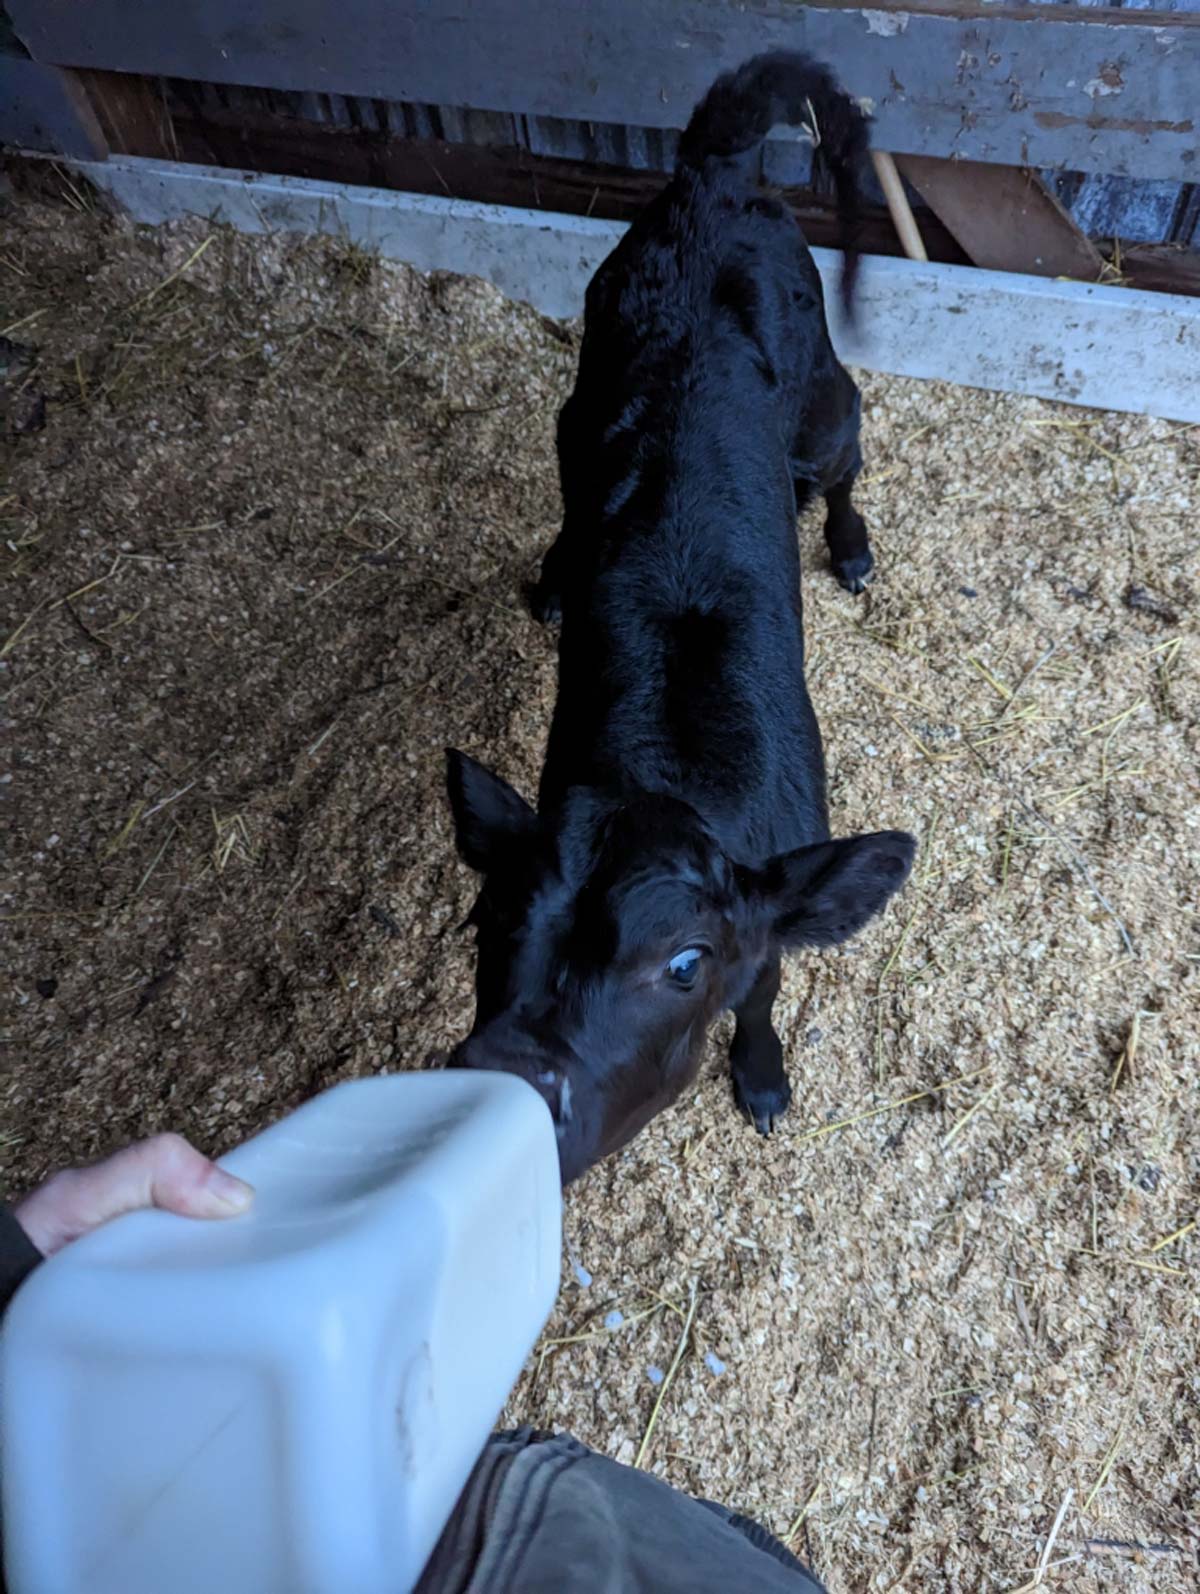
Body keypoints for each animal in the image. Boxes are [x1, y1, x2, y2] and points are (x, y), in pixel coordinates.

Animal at [445, 52, 915, 1183]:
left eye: (685, 961)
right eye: (492, 913)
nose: (504, 1080)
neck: (672, 759)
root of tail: (714, 179)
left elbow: (764, 994)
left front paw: (764, 1079)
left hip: (823, 395)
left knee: (845, 454)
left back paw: (848, 544)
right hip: (577, 407)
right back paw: (558, 576)